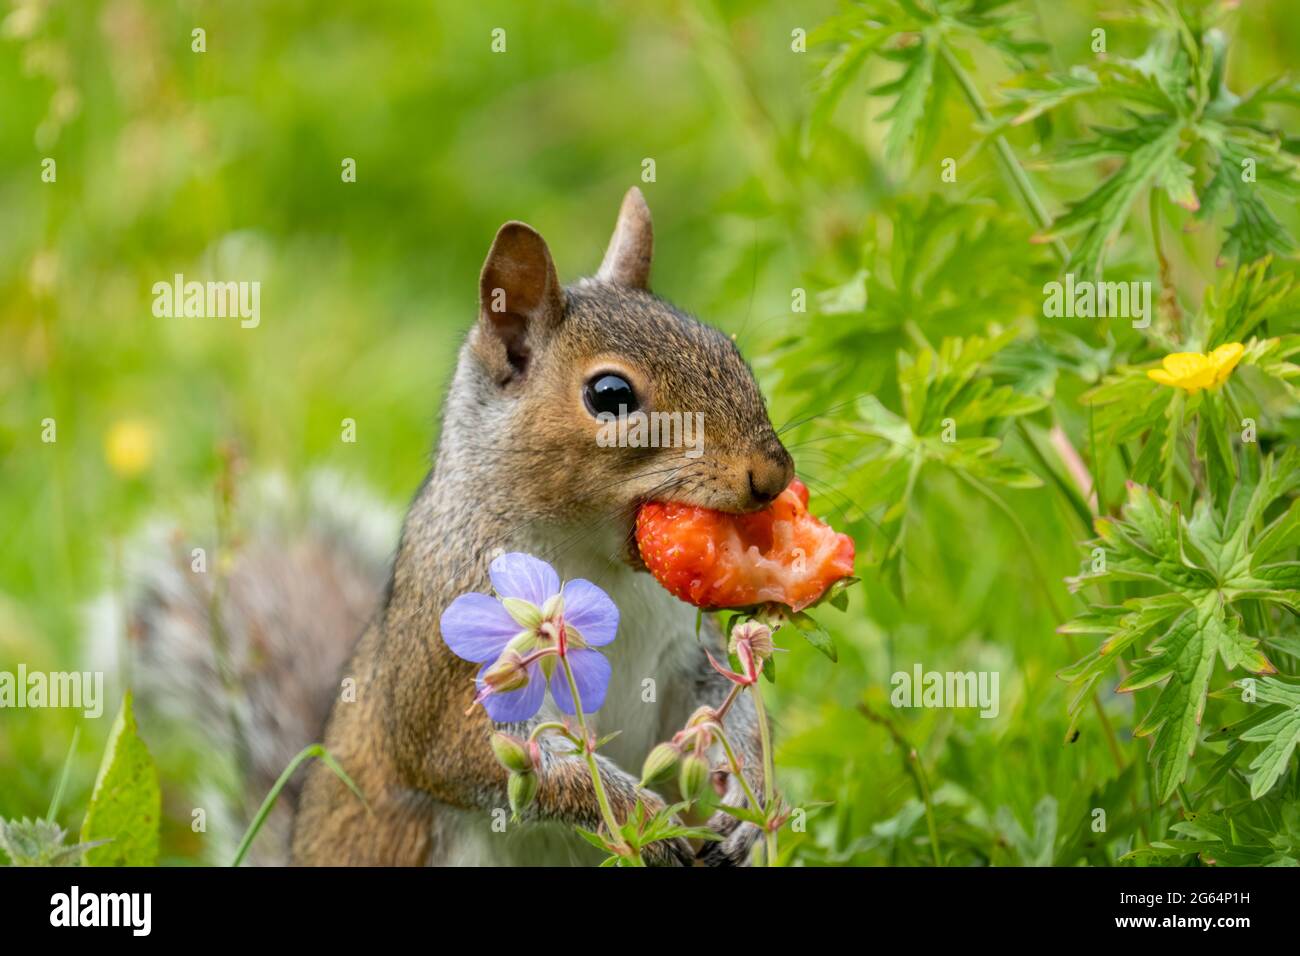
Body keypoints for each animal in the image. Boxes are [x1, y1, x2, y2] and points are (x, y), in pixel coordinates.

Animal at [120, 188, 795, 866]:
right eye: (610, 395)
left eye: (730, 350)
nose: (772, 475)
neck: (597, 559)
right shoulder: (450, 661)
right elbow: (471, 752)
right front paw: (638, 817)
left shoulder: (682, 655)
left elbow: (719, 704)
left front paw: (748, 793)